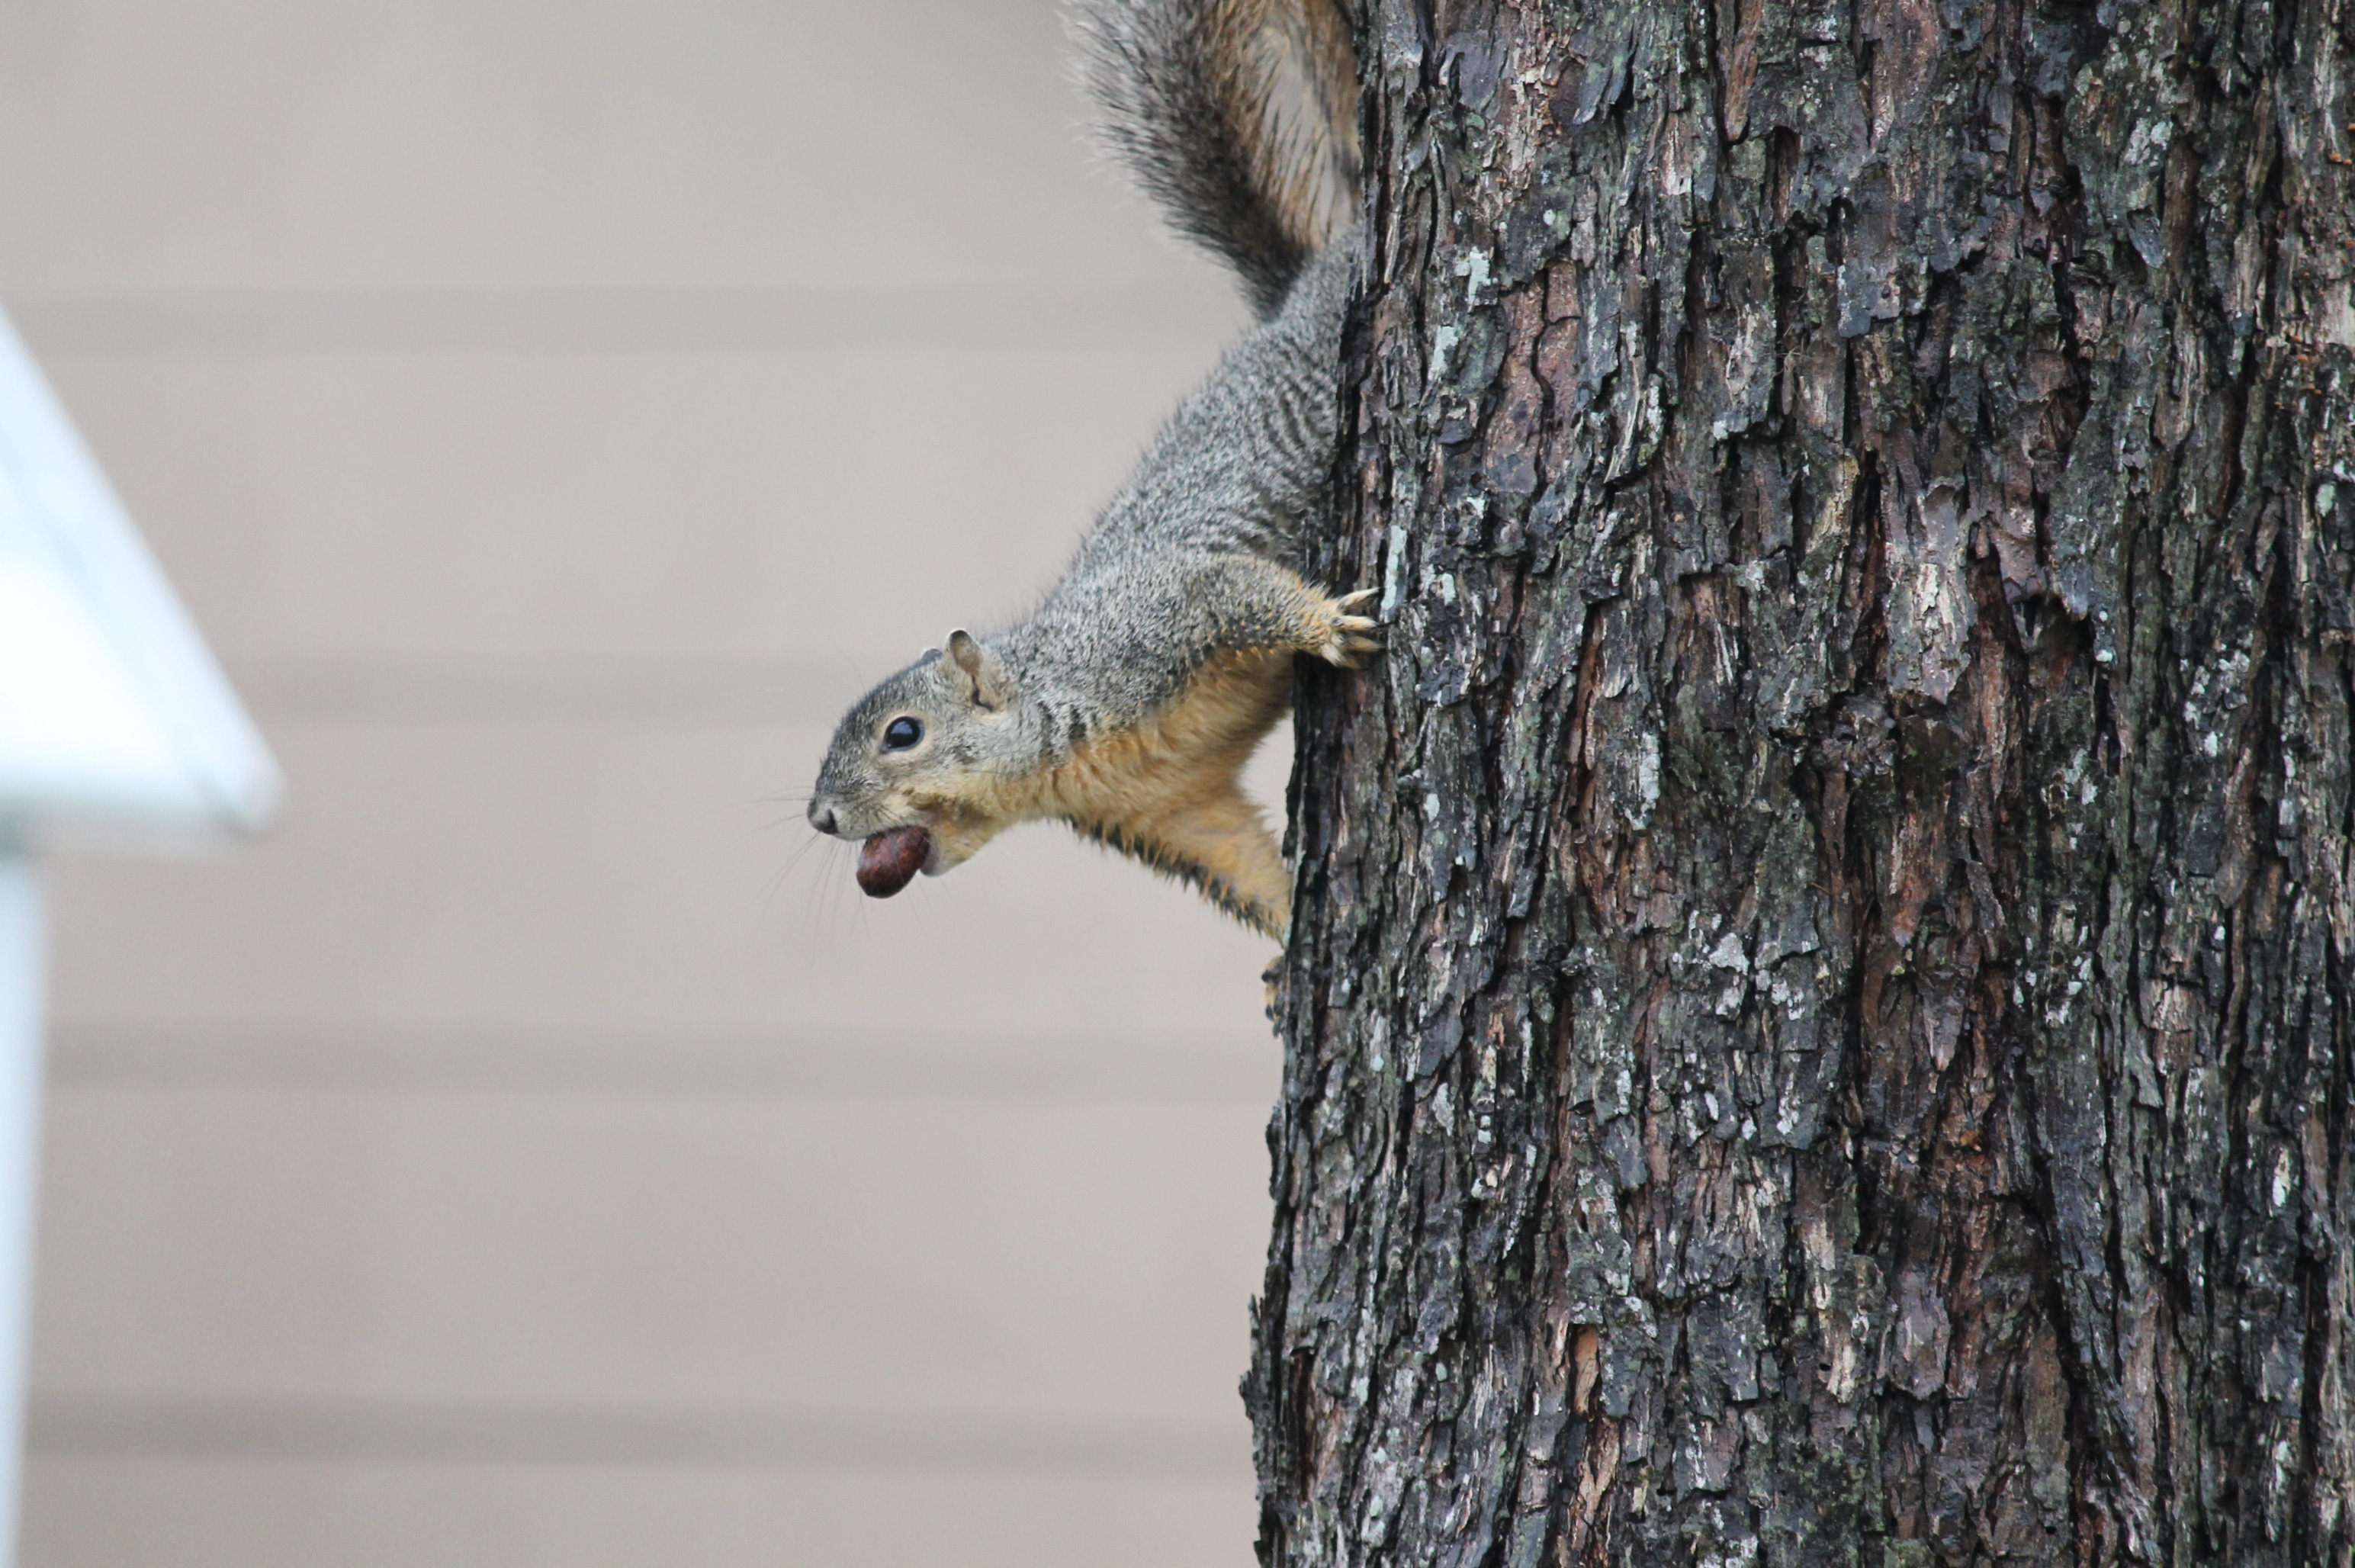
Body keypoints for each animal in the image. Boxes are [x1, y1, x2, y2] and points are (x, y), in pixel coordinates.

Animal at [805, 0, 1365, 940]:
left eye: (902, 735)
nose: (820, 816)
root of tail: (1302, 287)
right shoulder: (1170, 811)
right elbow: (1241, 863)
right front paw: (1290, 946)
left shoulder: (1153, 624)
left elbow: (1233, 590)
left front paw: (1326, 625)